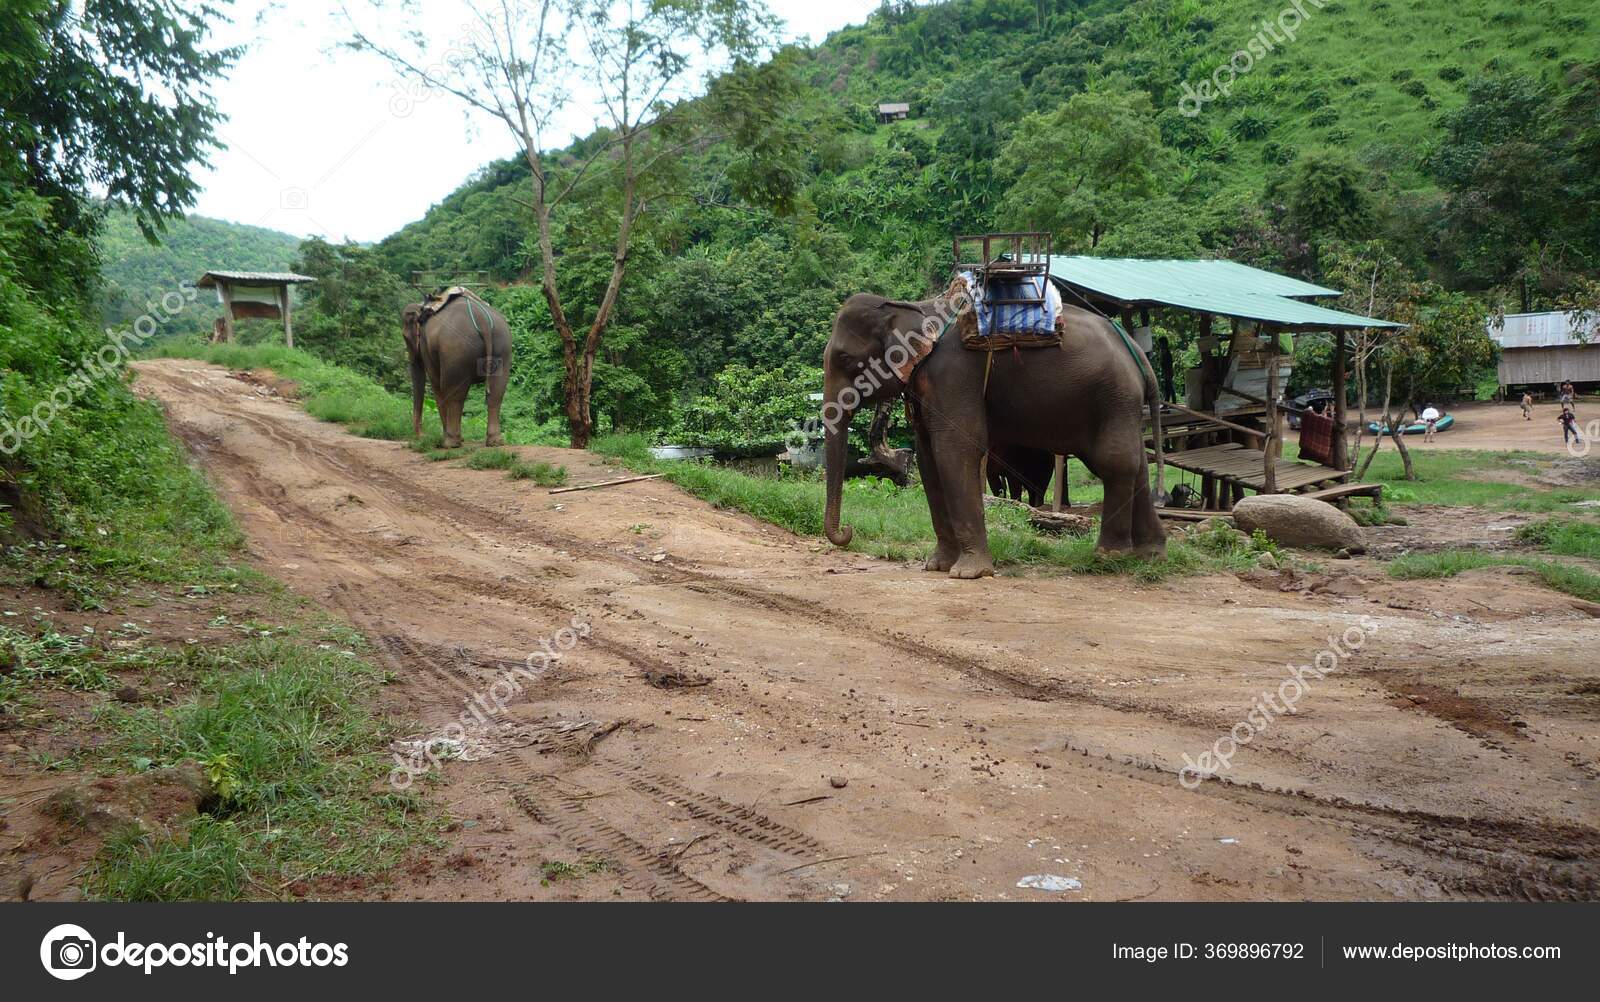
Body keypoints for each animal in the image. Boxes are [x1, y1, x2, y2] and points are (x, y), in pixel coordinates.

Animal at [402, 293, 512, 449]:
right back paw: (495, 442)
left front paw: (445, 438)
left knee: (454, 393)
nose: (422, 436)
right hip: (502, 347)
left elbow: (436, 383)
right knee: (496, 392)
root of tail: (482, 320)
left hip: (455, 349)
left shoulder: (426, 345)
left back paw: (450, 443)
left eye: (405, 336)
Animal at [822, 291, 1165, 578]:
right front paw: (937, 566)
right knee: (1136, 464)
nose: (849, 531)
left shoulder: (953, 375)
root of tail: (1138, 353)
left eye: (844, 359)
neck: (912, 309)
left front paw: (968, 573)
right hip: (1118, 403)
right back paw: (1149, 554)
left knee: (1114, 462)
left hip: (1112, 396)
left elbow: (954, 450)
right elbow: (928, 459)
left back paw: (1108, 556)